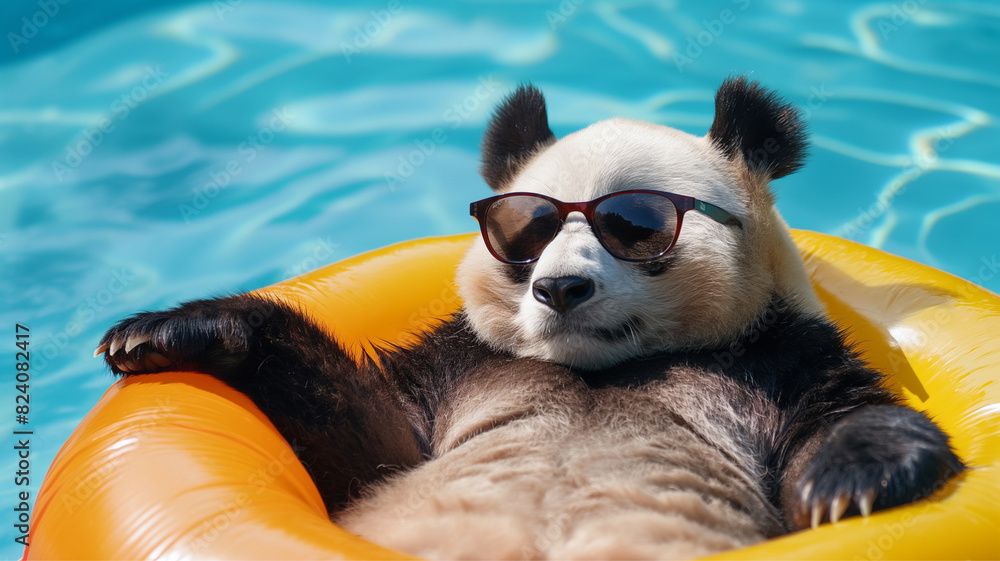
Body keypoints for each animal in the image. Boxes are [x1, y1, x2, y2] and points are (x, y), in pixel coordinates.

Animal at [98, 77, 963, 560]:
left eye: (635, 225)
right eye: (527, 231)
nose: (560, 289)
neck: (599, 372)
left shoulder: (775, 355)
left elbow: (851, 411)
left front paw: (846, 485)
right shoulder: (465, 364)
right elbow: (367, 434)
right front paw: (166, 331)